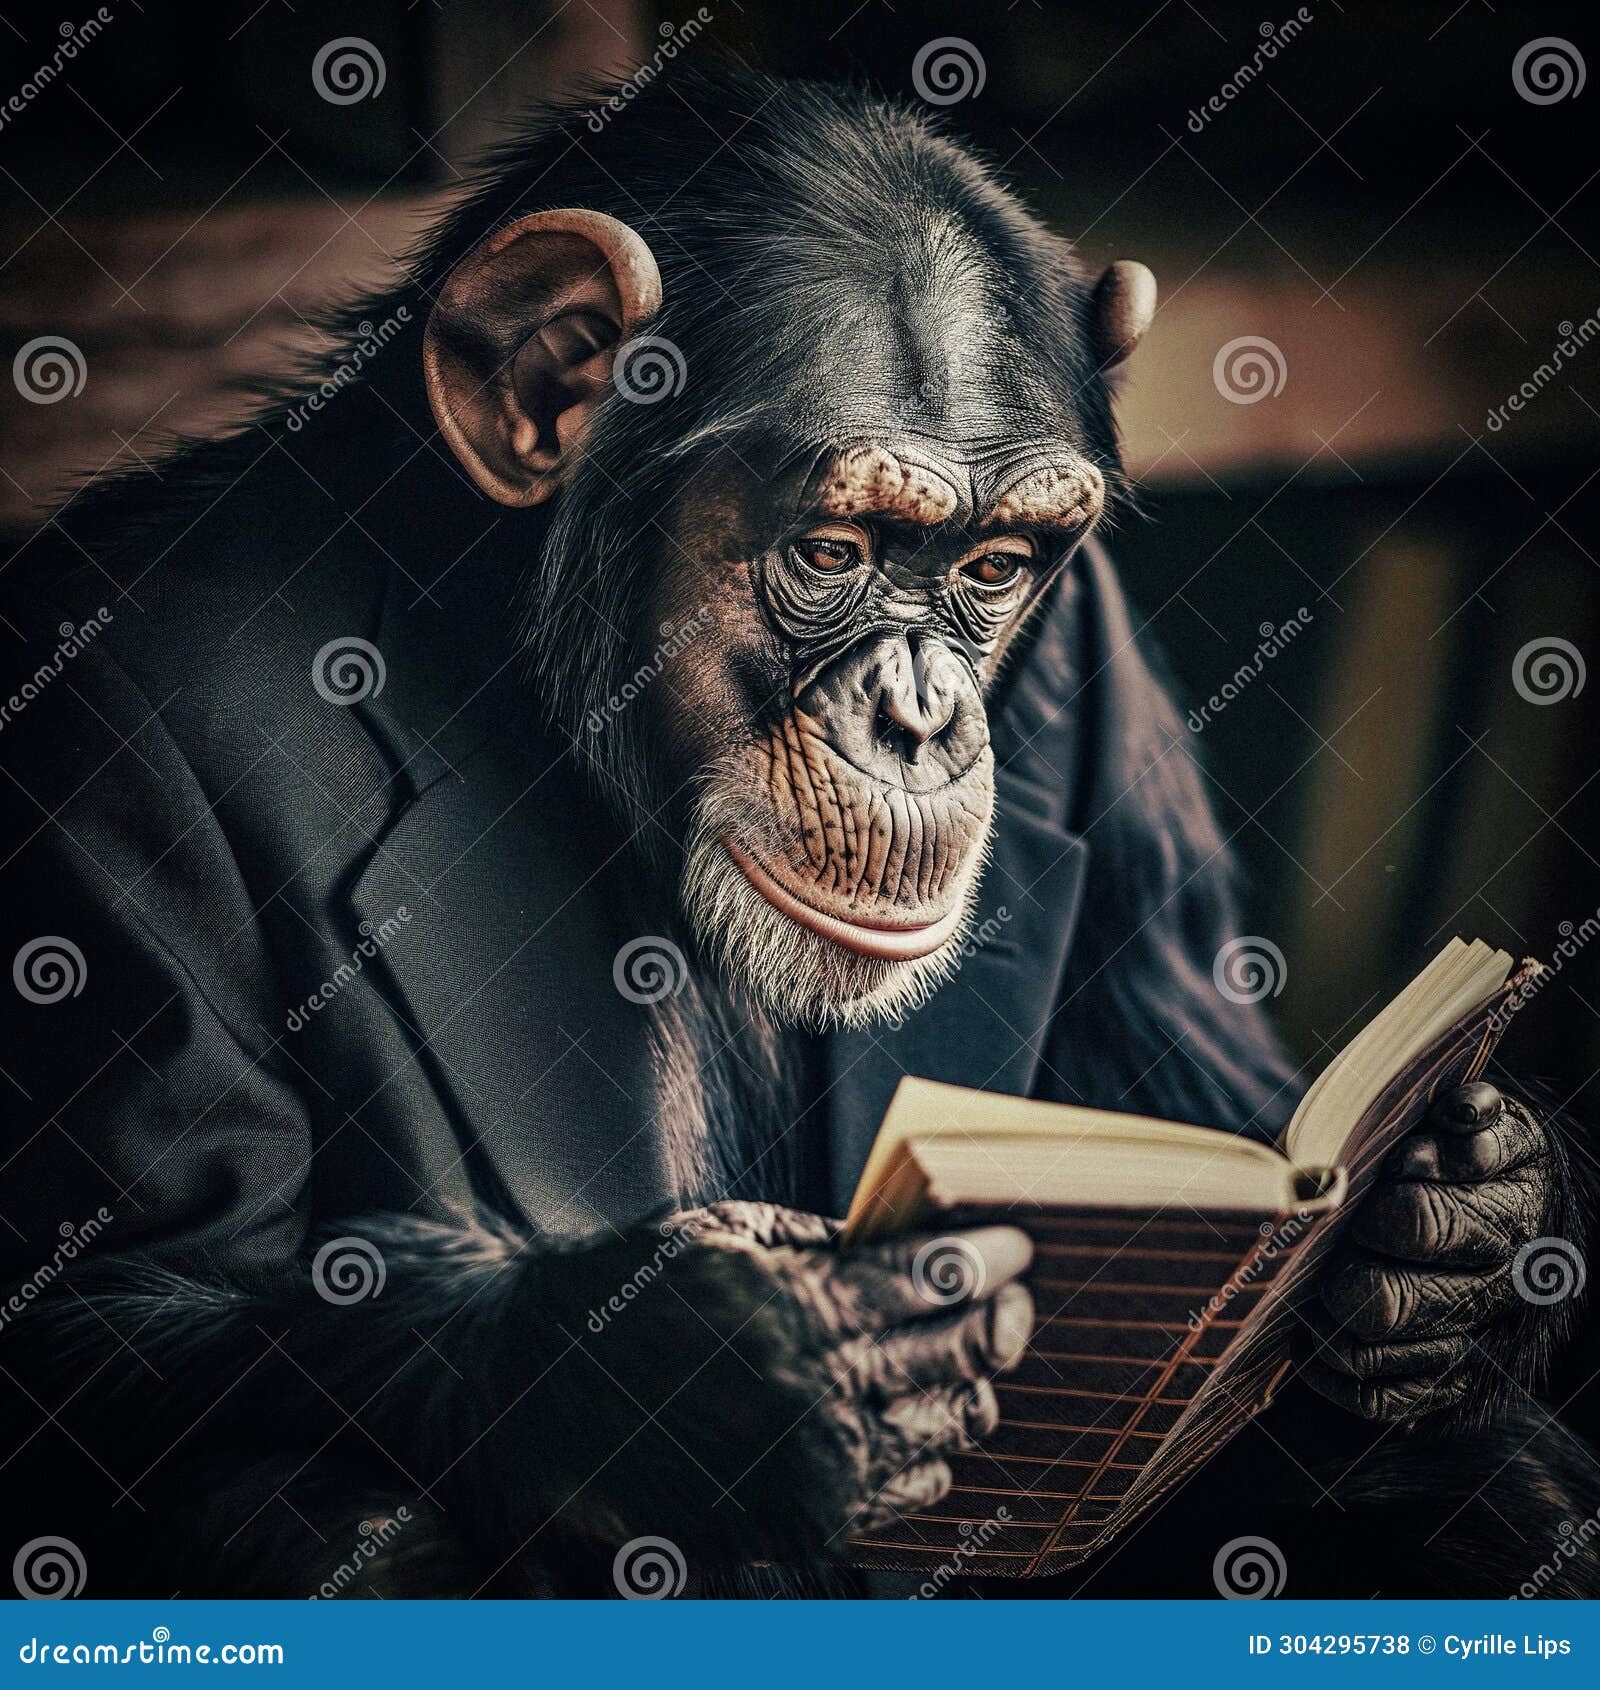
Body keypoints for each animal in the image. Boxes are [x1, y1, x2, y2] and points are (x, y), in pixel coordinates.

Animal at [0, 65, 1594, 1600]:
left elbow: (1199, 1078)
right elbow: (117, 1302)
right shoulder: (109, 714)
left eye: (994, 569)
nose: (922, 714)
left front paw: (1459, 1225)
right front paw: (710, 1366)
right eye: (833, 551)